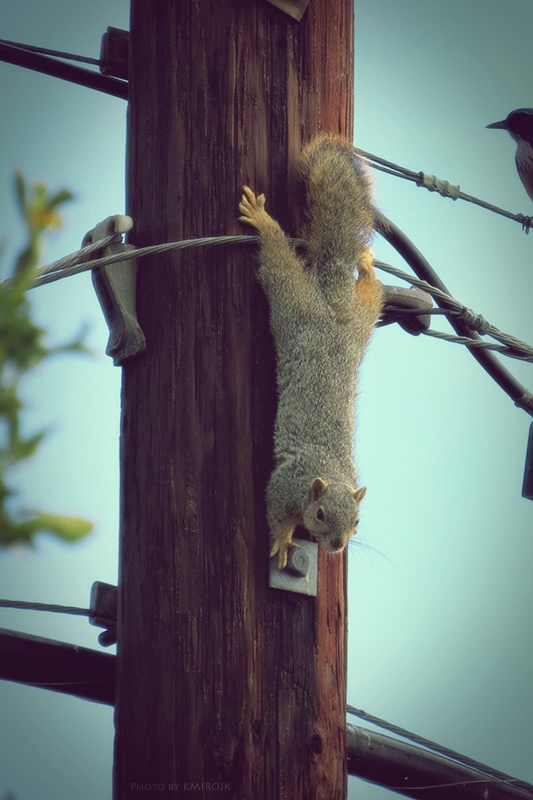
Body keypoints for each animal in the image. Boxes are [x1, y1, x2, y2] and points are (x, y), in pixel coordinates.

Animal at [238, 134, 383, 569]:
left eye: (357, 521)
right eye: (320, 514)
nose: (336, 545)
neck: (328, 474)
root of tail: (332, 302)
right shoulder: (282, 485)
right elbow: (274, 515)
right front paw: (284, 541)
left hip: (363, 321)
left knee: (373, 291)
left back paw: (366, 264)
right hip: (292, 300)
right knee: (277, 259)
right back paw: (263, 222)